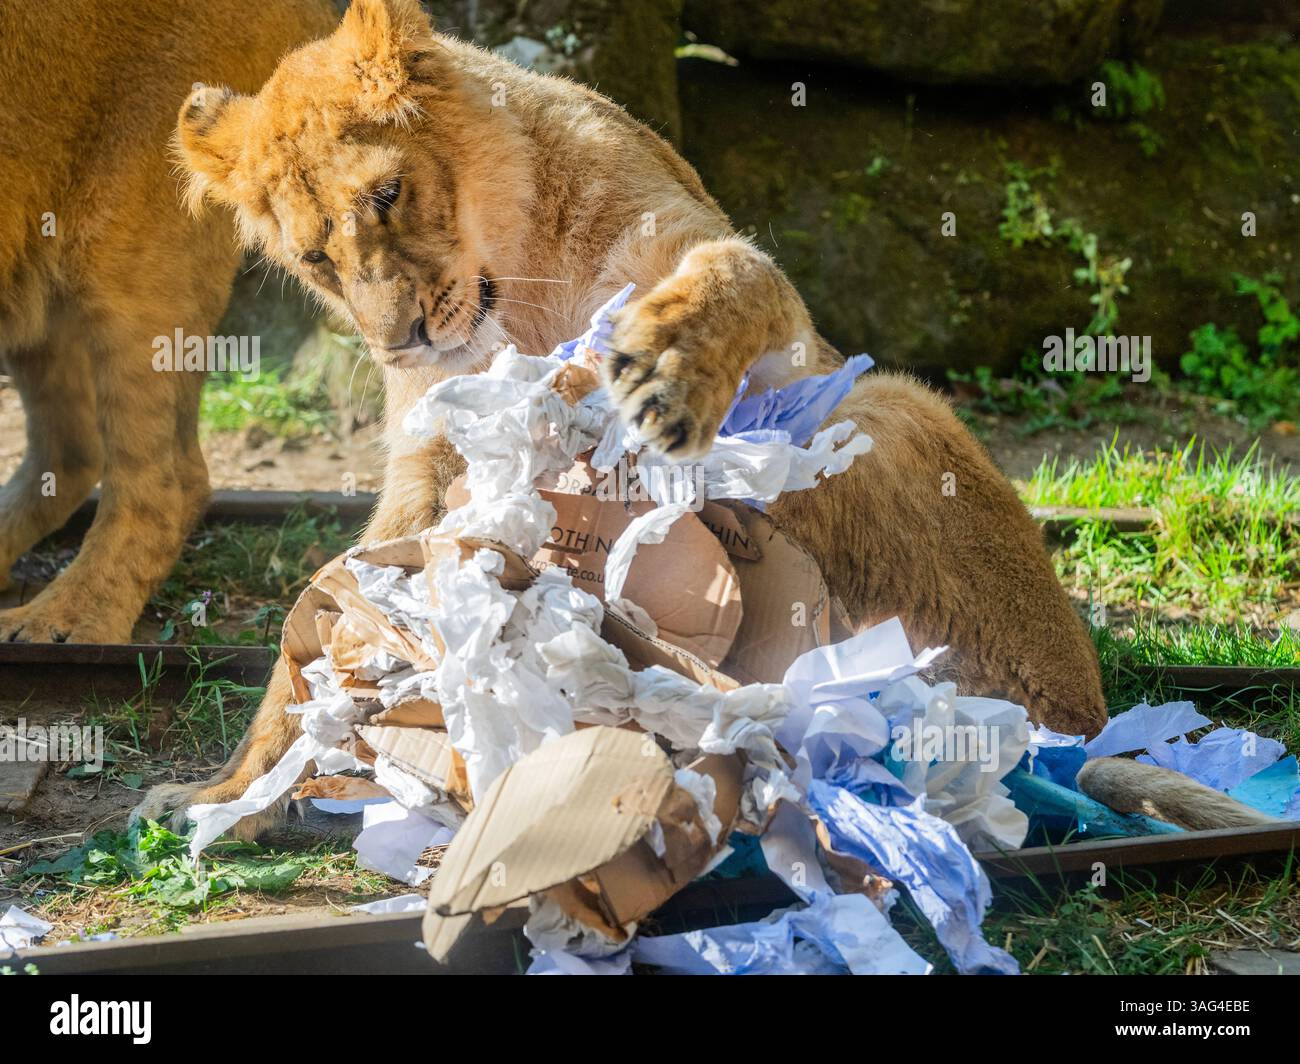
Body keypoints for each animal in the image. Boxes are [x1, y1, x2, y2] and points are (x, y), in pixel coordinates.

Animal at [135, 0, 1112, 838]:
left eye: (387, 194)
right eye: (313, 257)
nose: (401, 341)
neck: (517, 290)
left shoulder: (744, 300)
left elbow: (736, 273)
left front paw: (666, 380)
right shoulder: (436, 460)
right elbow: (328, 613)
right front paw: (234, 790)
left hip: (886, 403)